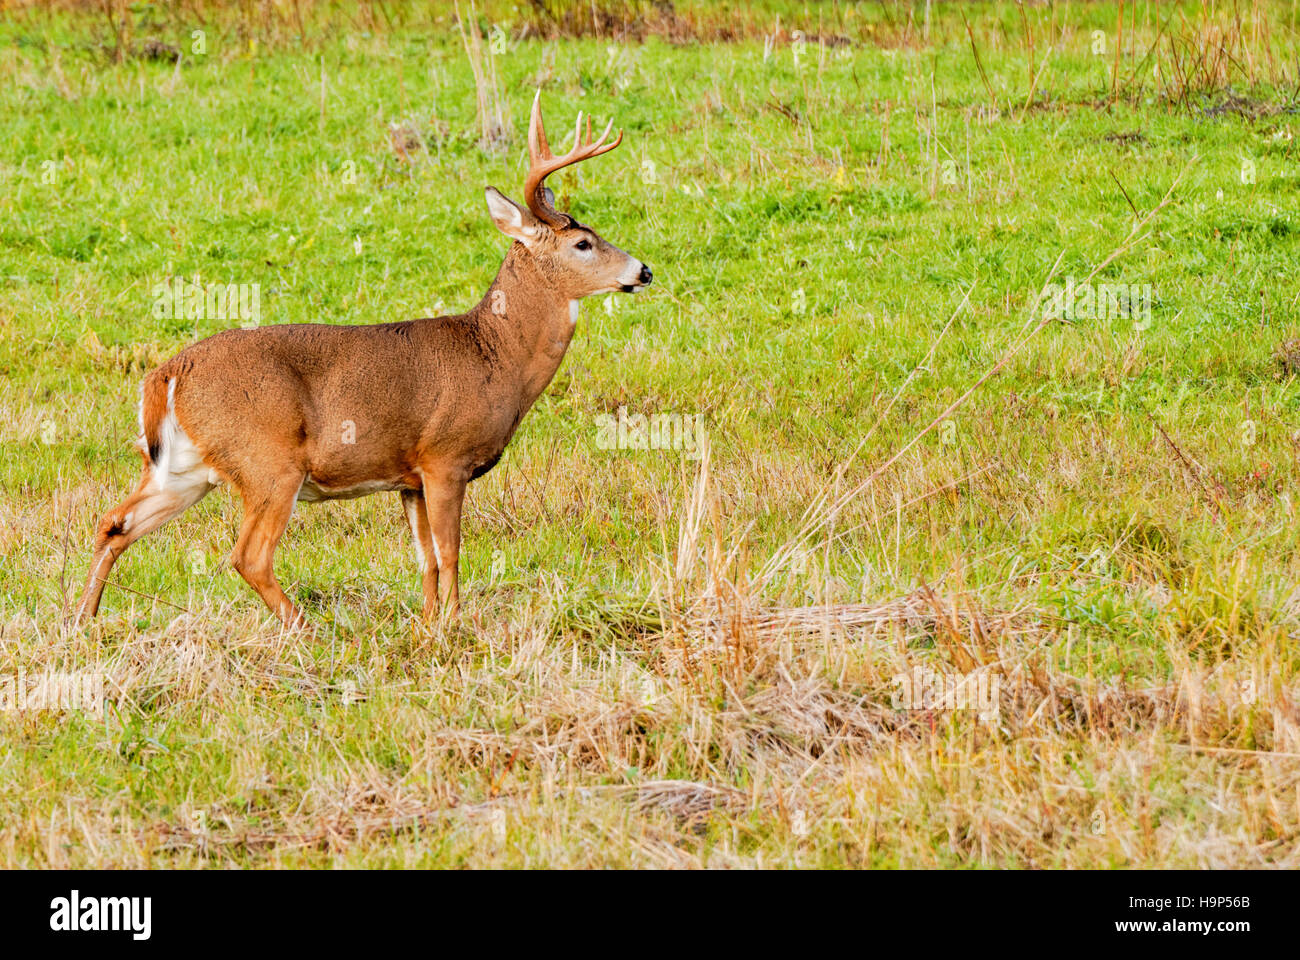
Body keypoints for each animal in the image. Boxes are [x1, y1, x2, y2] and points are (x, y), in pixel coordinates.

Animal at [72, 92, 652, 631]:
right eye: (583, 243)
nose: (643, 270)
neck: (496, 355)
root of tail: (167, 375)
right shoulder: (444, 456)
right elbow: (451, 554)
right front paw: (455, 627)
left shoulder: (409, 478)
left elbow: (425, 561)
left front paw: (429, 624)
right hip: (268, 460)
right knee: (248, 555)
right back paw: (305, 630)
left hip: (183, 467)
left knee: (113, 523)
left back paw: (80, 622)